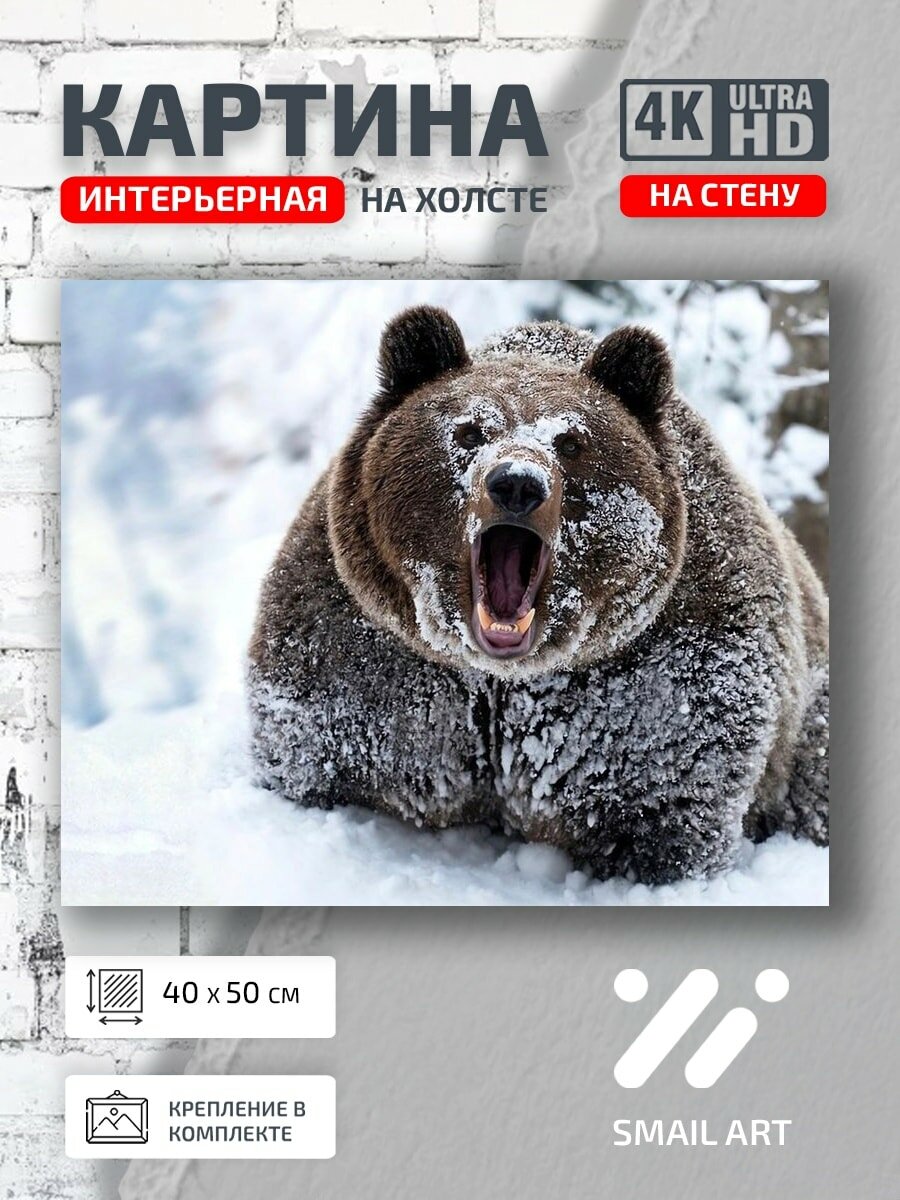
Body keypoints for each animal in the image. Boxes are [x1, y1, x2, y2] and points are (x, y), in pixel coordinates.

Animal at [248, 306, 828, 885]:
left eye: (571, 441)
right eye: (469, 431)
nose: (518, 483)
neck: (501, 679)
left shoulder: (664, 673)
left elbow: (665, 797)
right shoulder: (368, 651)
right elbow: (321, 749)